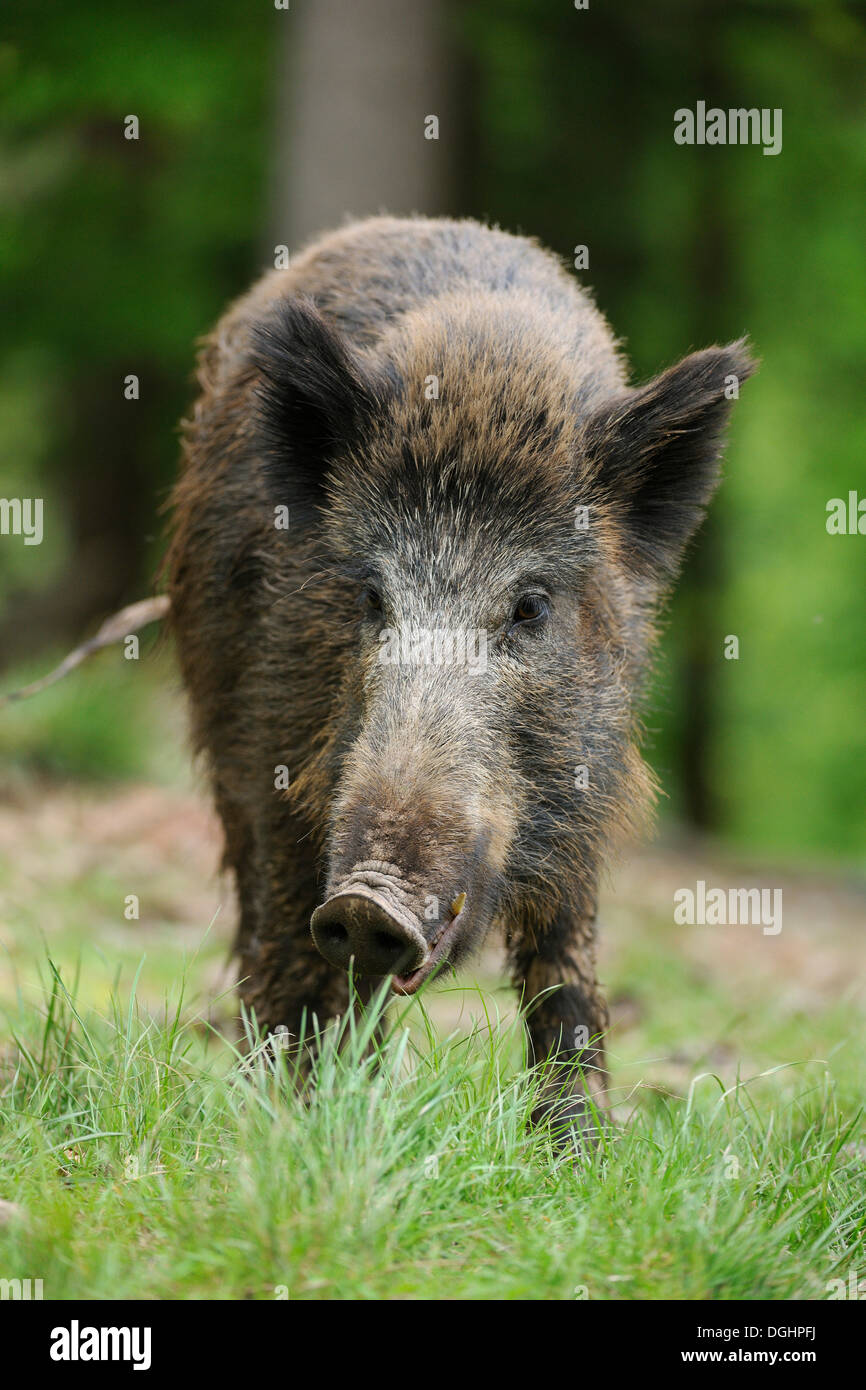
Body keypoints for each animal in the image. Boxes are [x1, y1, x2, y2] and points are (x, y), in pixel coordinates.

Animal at [166, 215, 754, 1136]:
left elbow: (564, 965)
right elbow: (295, 948)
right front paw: (299, 1127)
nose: (369, 900)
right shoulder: (276, 758)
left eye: (530, 606)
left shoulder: (587, 787)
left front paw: (578, 1149)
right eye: (372, 595)